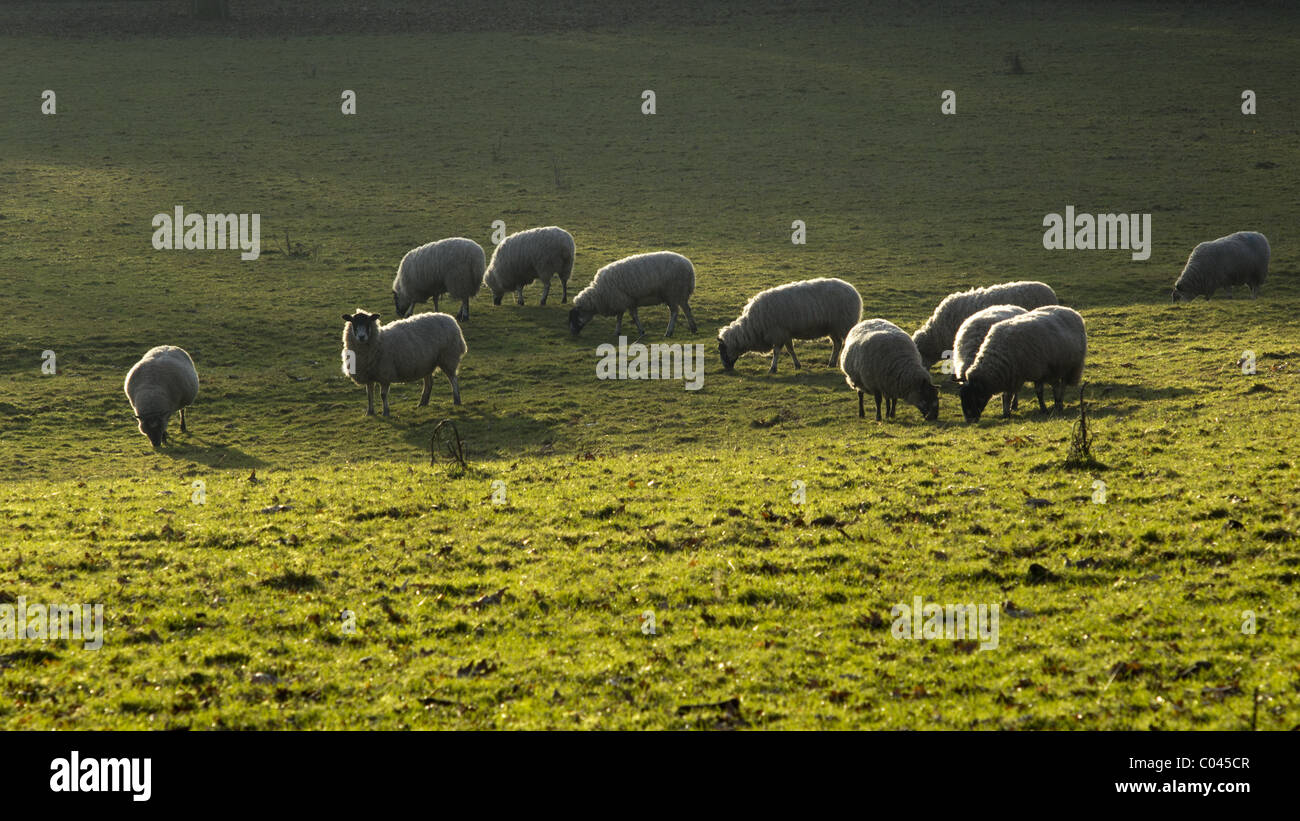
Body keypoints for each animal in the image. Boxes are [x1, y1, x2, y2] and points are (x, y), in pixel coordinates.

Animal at [568, 251, 697, 338]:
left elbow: (629, 316)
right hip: (681, 293)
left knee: (674, 312)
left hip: (672, 292)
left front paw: (638, 331)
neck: (599, 293)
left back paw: (669, 332)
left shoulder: (622, 299)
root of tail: (689, 265)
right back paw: (693, 328)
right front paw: (621, 331)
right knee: (687, 309)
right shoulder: (626, 300)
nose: (573, 333)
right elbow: (624, 316)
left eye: (575, 316)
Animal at [717, 278, 863, 374]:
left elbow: (776, 352)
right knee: (837, 344)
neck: (753, 326)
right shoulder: (785, 333)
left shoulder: (778, 333)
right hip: (832, 328)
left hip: (844, 325)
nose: (726, 368)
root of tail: (852, 288)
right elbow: (790, 349)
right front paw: (797, 365)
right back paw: (831, 363)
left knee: (844, 343)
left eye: (722, 349)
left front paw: (773, 368)